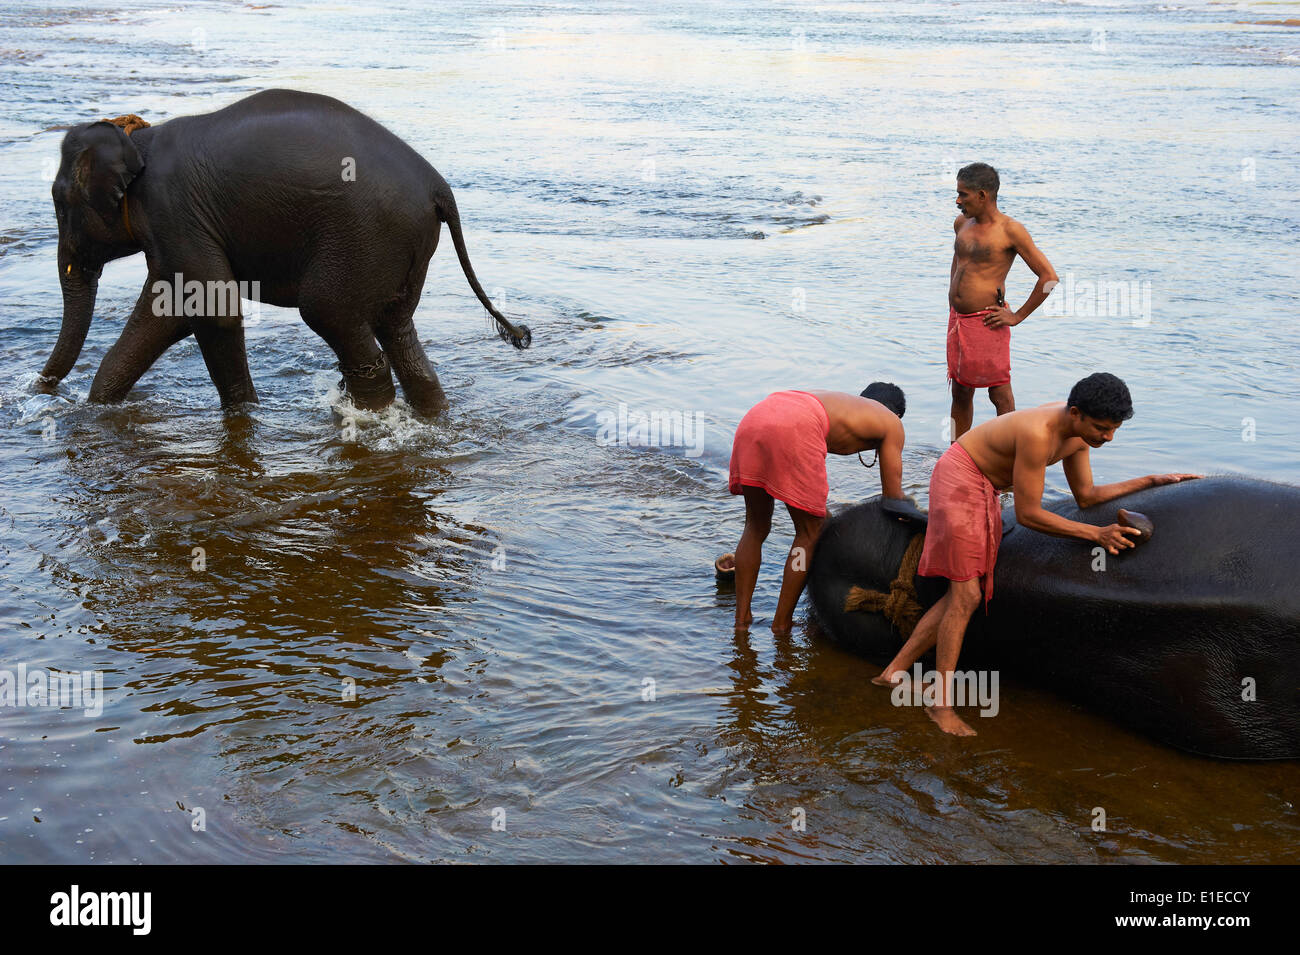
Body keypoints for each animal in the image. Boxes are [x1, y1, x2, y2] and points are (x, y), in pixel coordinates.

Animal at [36, 88, 531, 415]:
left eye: (60, 205)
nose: (41, 390)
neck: (137, 139)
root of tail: (438, 187)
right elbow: (171, 312)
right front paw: (99, 406)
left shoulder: (171, 211)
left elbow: (210, 308)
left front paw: (244, 414)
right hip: (405, 250)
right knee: (398, 332)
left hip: (364, 238)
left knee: (329, 312)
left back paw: (368, 420)